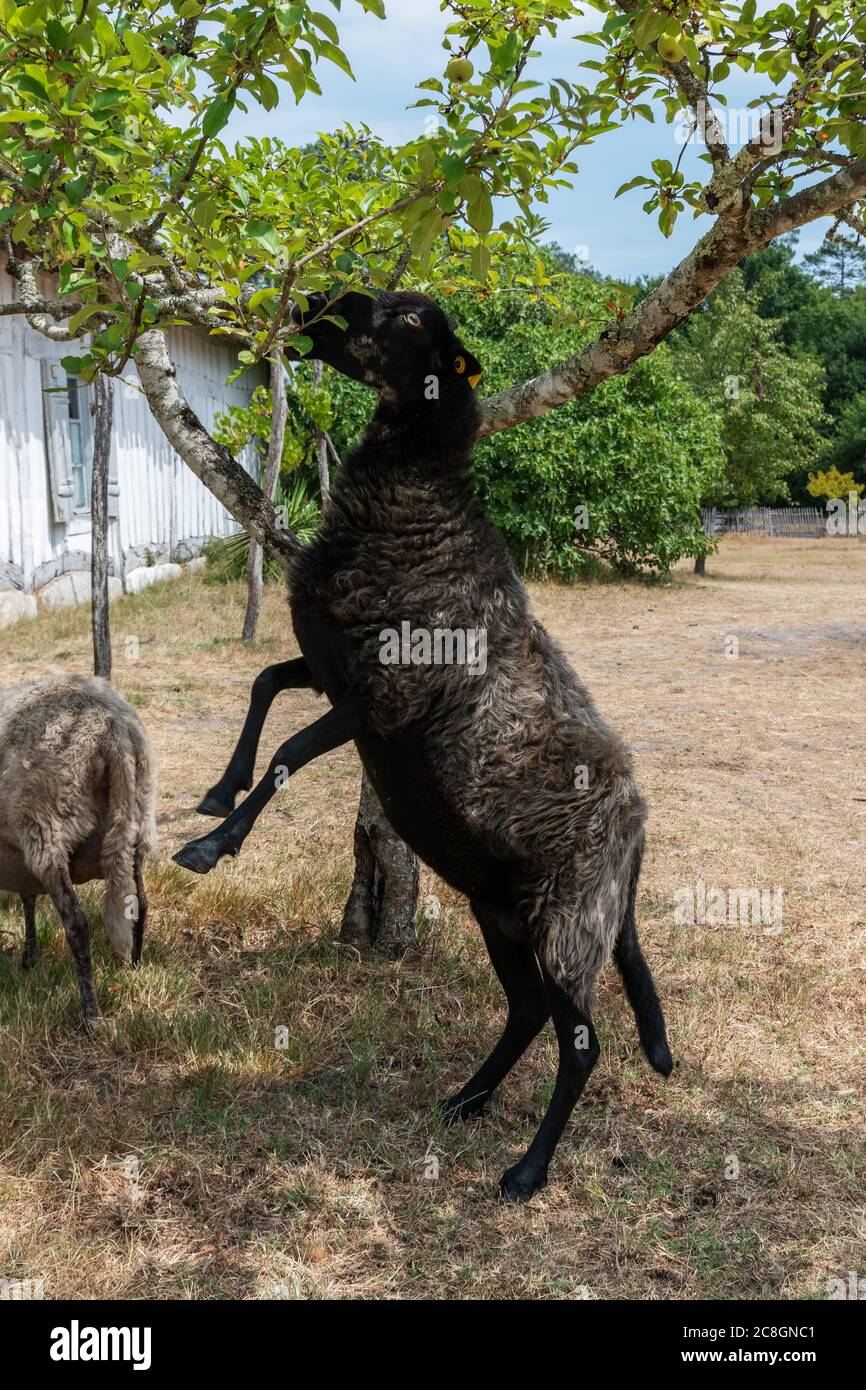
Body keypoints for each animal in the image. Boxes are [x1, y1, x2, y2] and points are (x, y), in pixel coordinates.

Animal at [0, 675, 157, 1026]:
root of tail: (112, 726)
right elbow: (27, 896)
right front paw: (29, 957)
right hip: (137, 821)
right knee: (140, 903)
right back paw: (136, 968)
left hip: (47, 824)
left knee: (76, 923)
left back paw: (91, 1016)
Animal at [175, 290, 673, 1202]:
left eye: (410, 322)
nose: (321, 302)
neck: (416, 506)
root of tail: (639, 824)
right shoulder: (333, 671)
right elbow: (264, 685)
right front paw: (217, 793)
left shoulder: (383, 699)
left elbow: (290, 751)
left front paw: (212, 846)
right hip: (501, 910)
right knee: (527, 1012)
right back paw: (466, 1101)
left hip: (569, 925)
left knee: (582, 1044)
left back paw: (527, 1172)